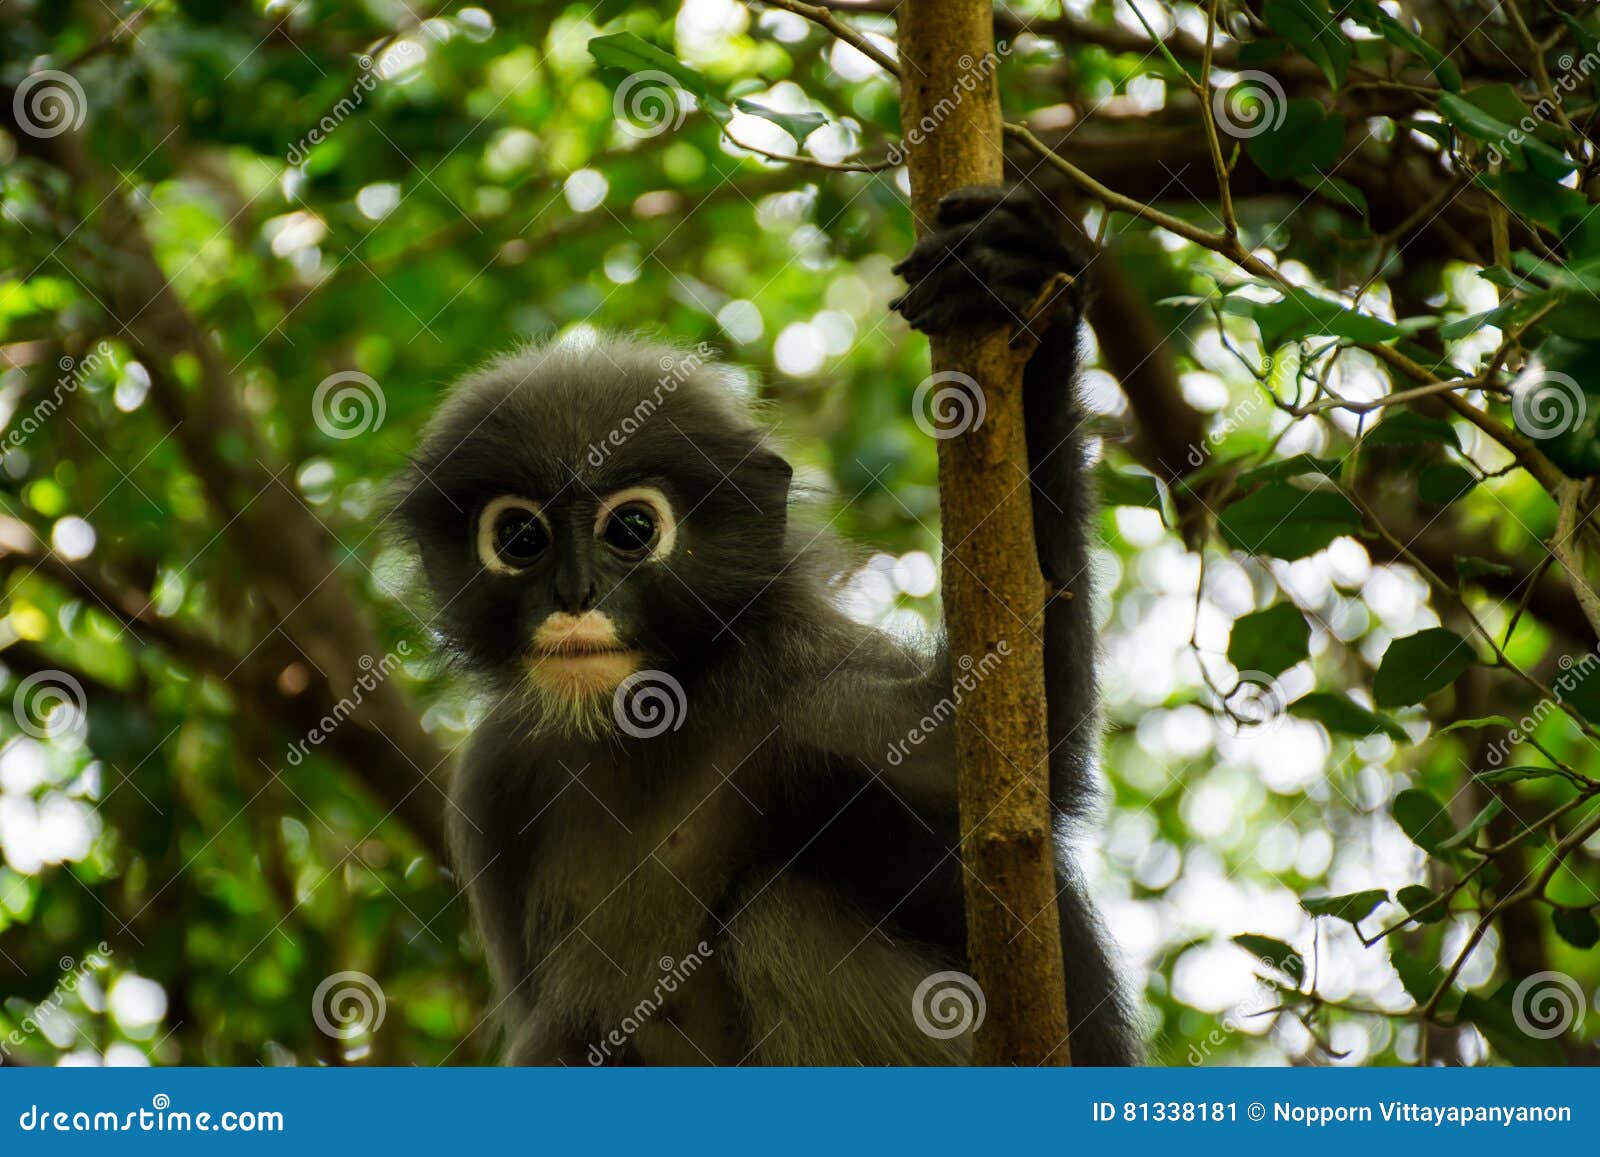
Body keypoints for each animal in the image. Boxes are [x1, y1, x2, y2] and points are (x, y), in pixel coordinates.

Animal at [390, 185, 1141, 1066]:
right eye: (518, 538)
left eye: (632, 528)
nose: (575, 592)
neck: (654, 713)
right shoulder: (497, 775)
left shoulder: (801, 689)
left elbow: (1010, 778)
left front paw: (1022, 289)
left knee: (775, 908)